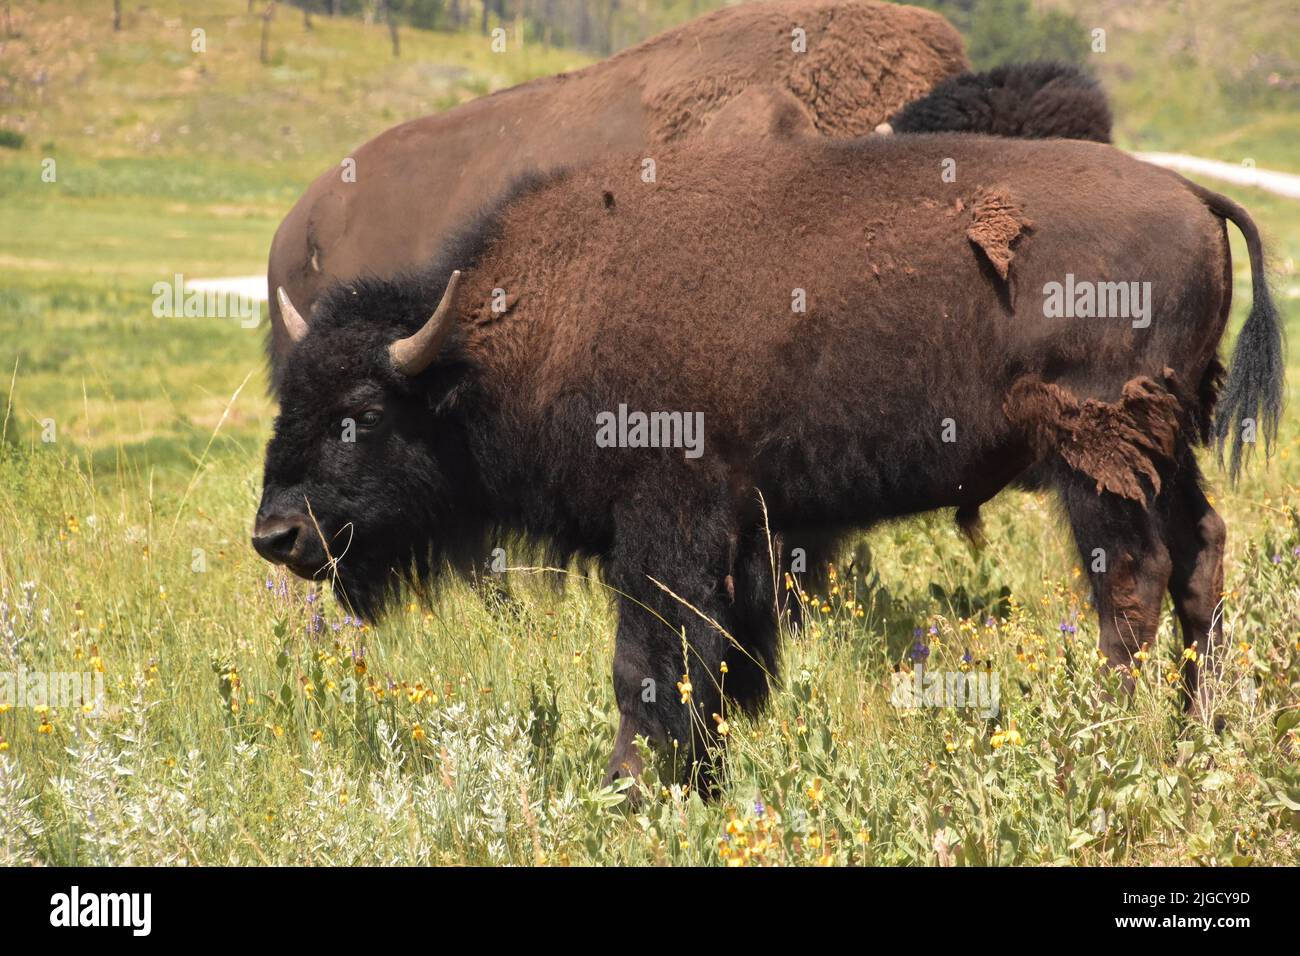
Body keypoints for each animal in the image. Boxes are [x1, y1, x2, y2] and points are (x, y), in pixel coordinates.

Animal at [254, 134, 1282, 787]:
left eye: (360, 415)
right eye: (287, 403)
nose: (277, 534)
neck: (493, 345)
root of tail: (1195, 198)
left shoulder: (668, 519)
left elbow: (650, 658)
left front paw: (631, 784)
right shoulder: (746, 534)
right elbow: (724, 663)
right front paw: (700, 776)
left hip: (1095, 459)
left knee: (1133, 584)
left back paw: (1103, 741)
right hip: (1166, 450)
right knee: (1200, 557)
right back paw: (1199, 732)